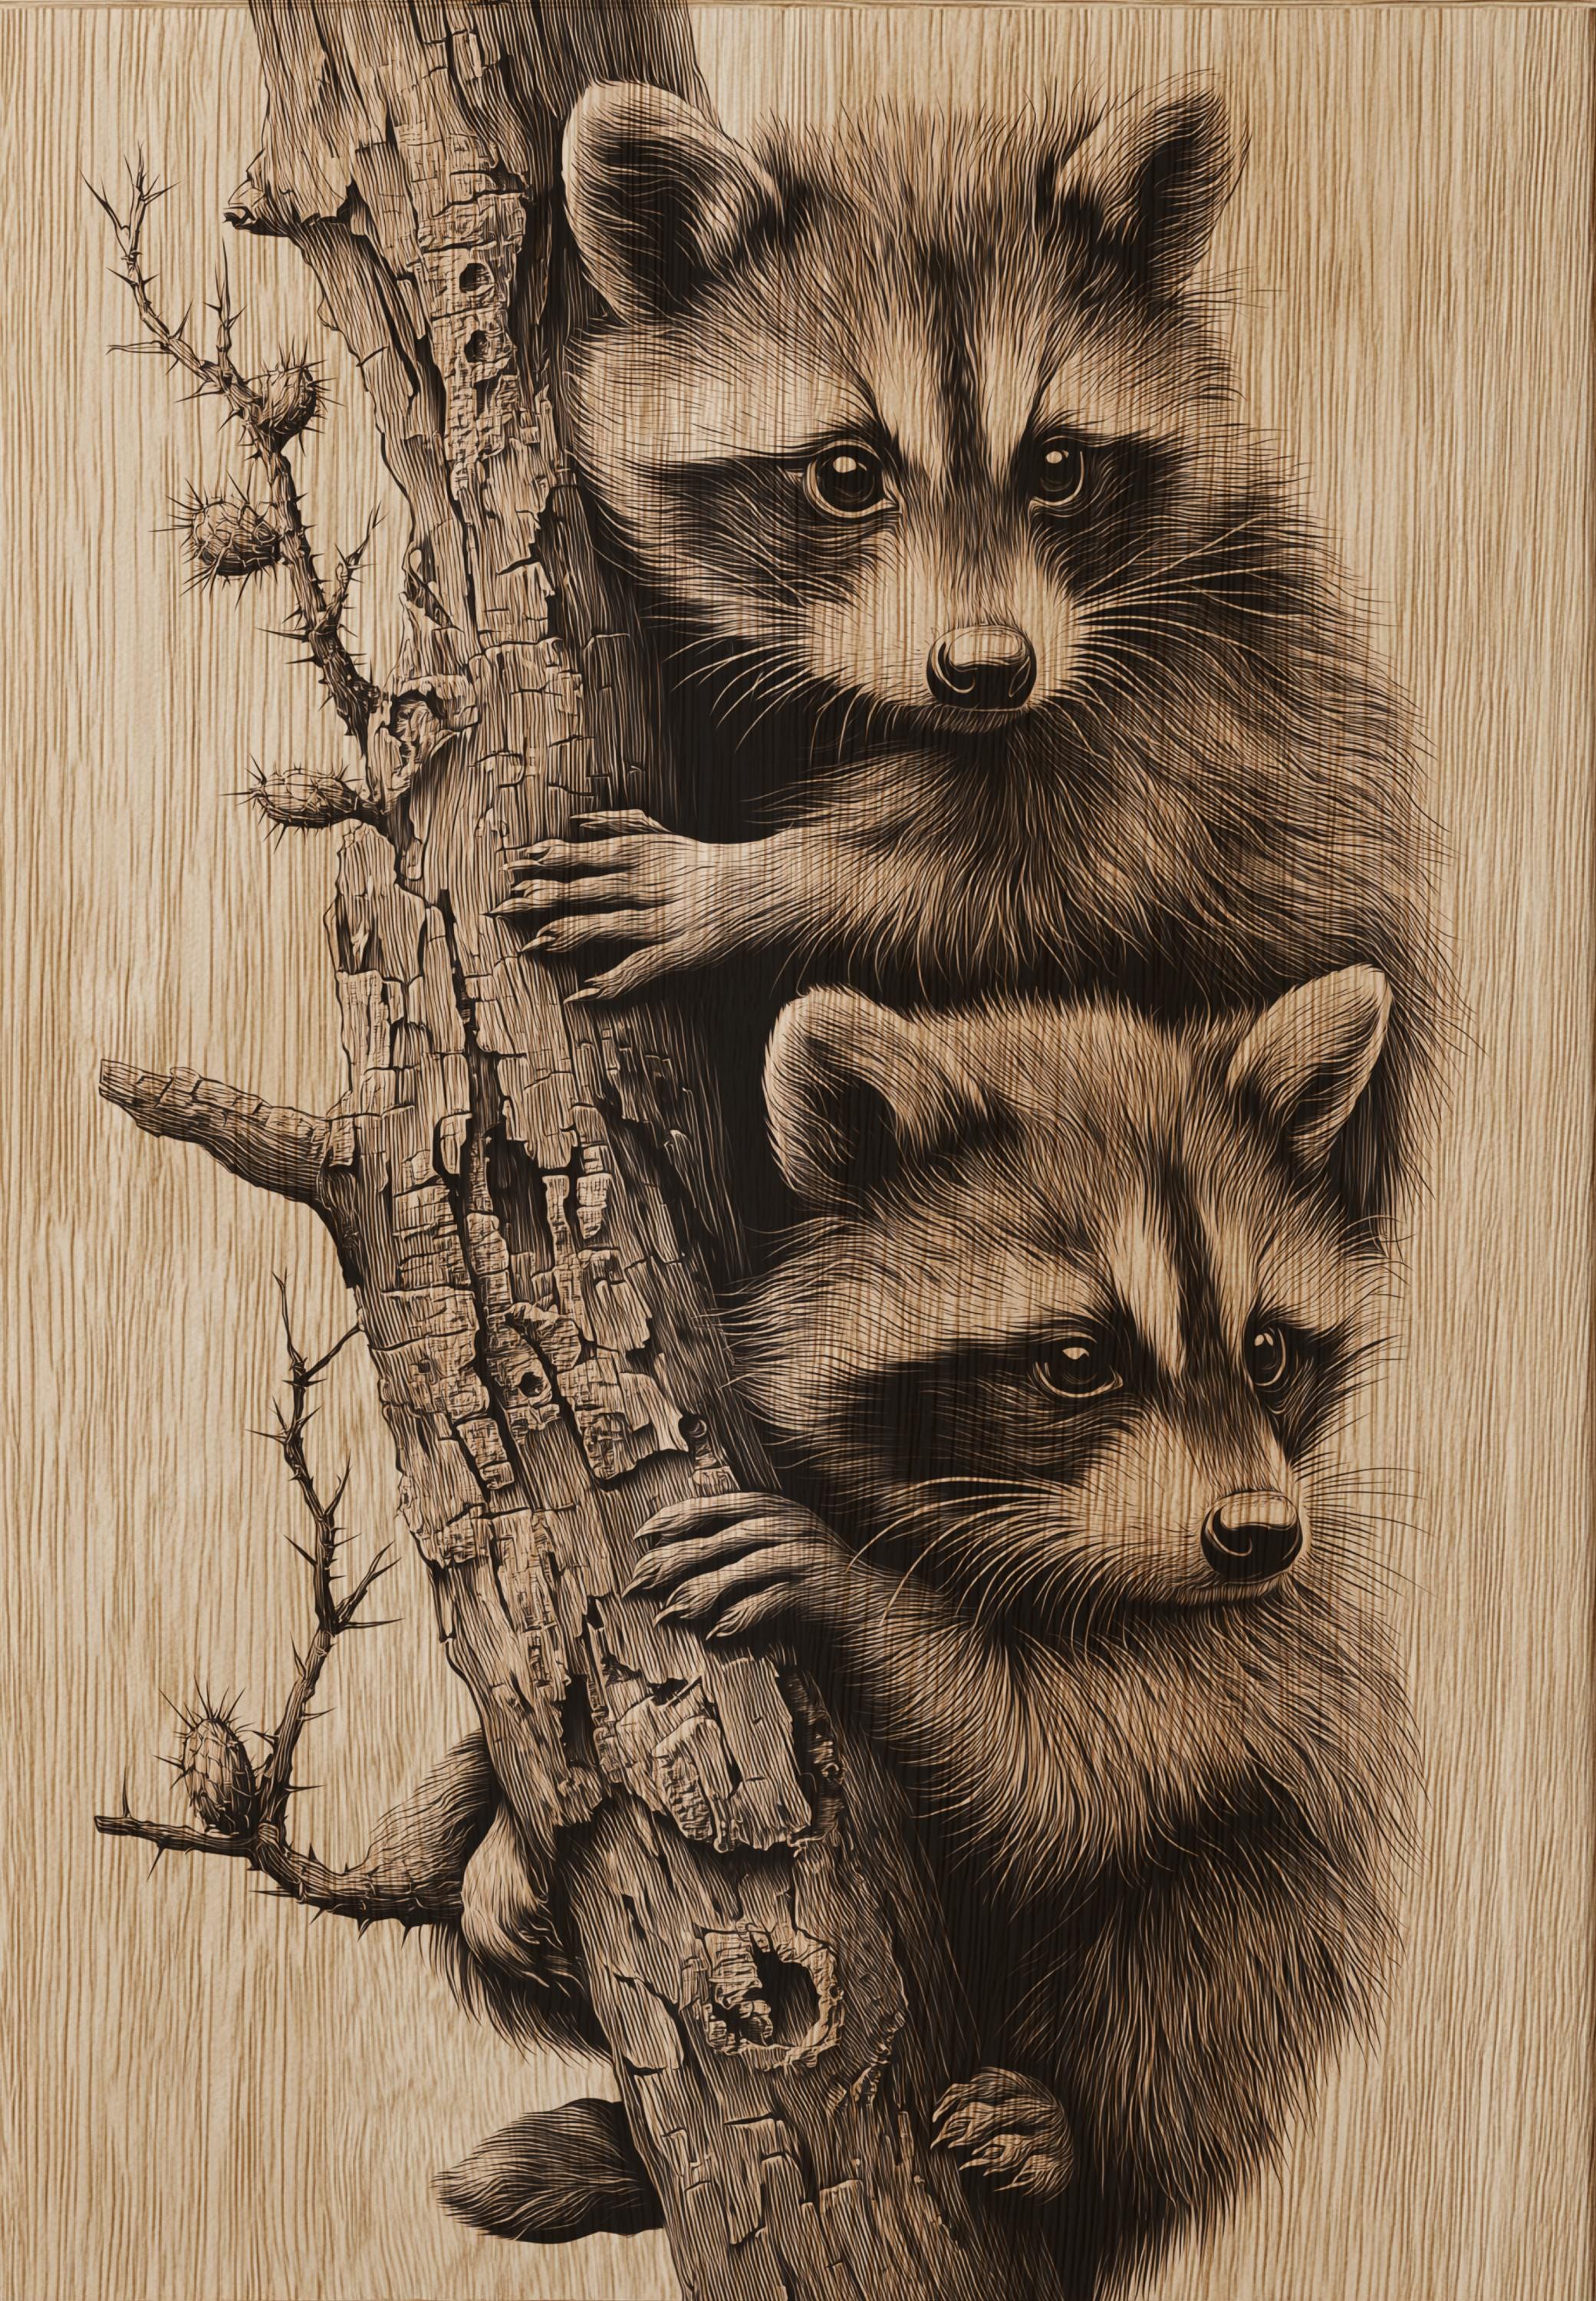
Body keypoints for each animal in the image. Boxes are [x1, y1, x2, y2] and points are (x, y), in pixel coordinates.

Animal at [444, 970, 1414, 2297]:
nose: (1258, 1535)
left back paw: (1078, 2136)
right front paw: (502, 1834)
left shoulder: (1261, 1653)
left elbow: (1061, 1778)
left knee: (1235, 1933)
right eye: (1075, 1361)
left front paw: (859, 1598)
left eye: (1268, 1352)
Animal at [502, 80, 1444, 1242]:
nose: (989, 669)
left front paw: (749, 881)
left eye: (1059, 466)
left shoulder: (1212, 694)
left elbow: (1018, 880)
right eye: (845, 474)